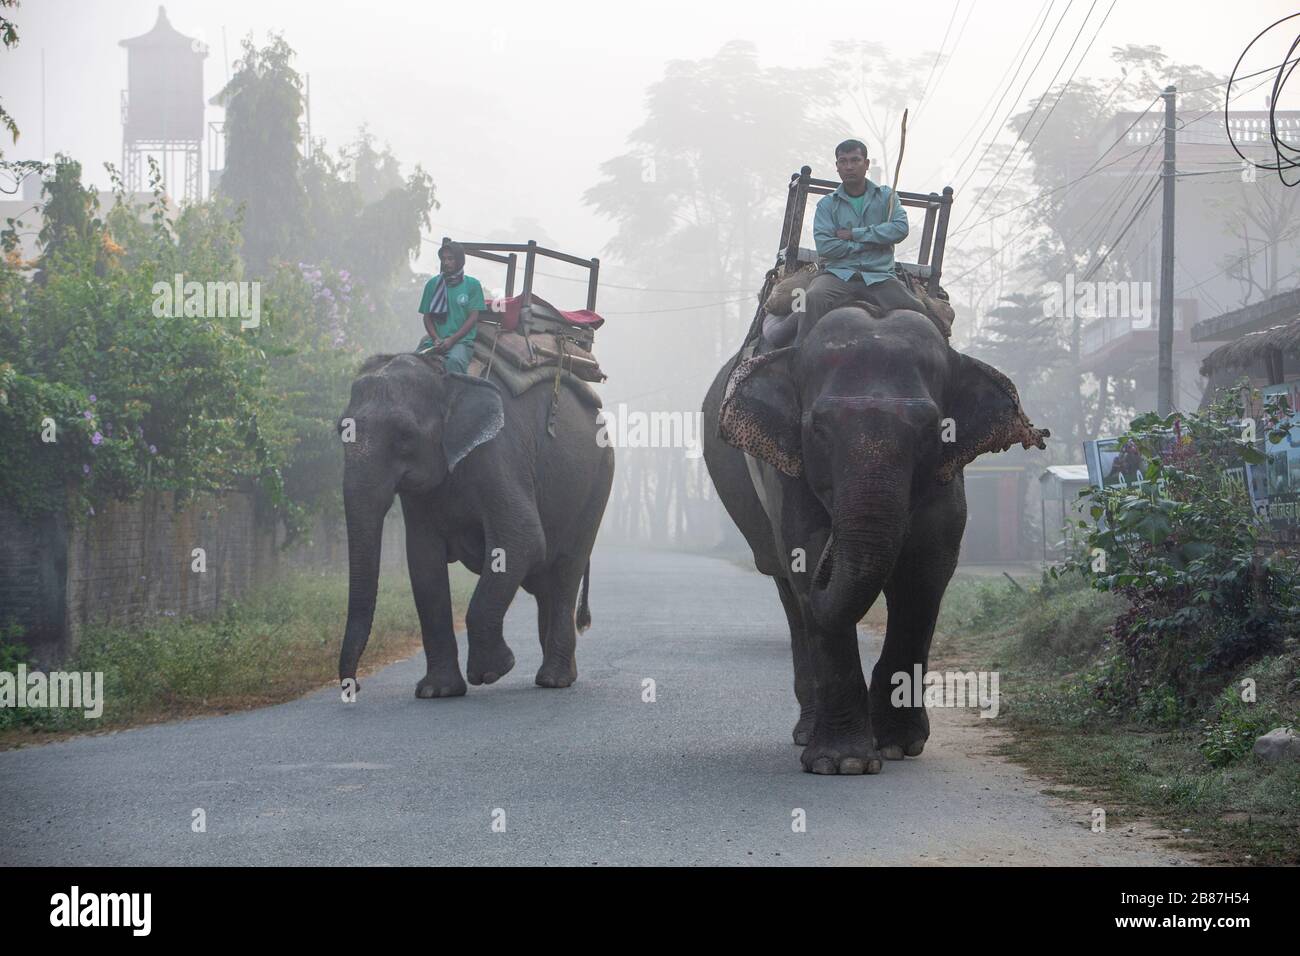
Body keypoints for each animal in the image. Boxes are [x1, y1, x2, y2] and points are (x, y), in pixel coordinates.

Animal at [337, 352, 614, 697]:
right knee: (546, 583)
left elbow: (522, 540)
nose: (355, 686)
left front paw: (492, 671)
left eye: (404, 435)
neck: (444, 375)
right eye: (340, 431)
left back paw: (554, 680)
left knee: (565, 570)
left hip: (598, 482)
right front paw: (438, 692)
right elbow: (423, 561)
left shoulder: (498, 453)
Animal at [702, 305, 1048, 774]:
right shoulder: (784, 472)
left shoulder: (948, 476)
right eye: (818, 428)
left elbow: (927, 571)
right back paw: (807, 732)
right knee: (791, 595)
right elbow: (804, 553)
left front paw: (896, 744)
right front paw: (843, 763)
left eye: (932, 428)